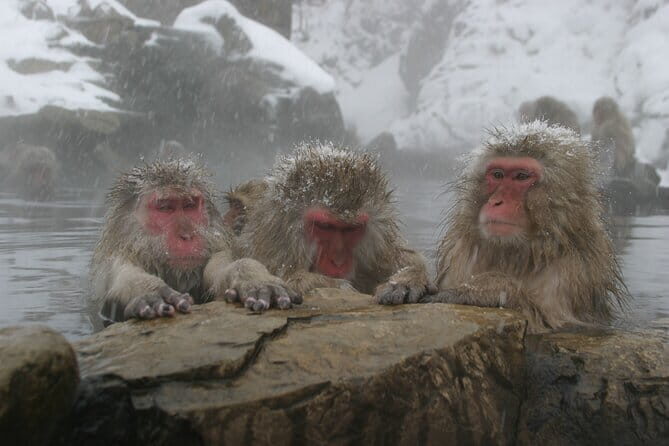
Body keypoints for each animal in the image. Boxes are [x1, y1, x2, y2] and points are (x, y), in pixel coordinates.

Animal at [90, 158, 301, 322]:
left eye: (189, 205)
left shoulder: (217, 251)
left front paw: (254, 278)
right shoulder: (117, 259)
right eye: (165, 208)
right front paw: (149, 290)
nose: (187, 235)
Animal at [239, 142, 435, 302]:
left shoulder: (381, 254)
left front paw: (407, 279)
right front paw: (334, 285)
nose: (338, 261)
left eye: (352, 228)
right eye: (325, 226)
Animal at [412, 122, 629, 332]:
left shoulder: (573, 271)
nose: (496, 202)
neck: (519, 253)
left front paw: (482, 289)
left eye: (522, 176)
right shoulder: (460, 254)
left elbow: (547, 321)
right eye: (497, 175)